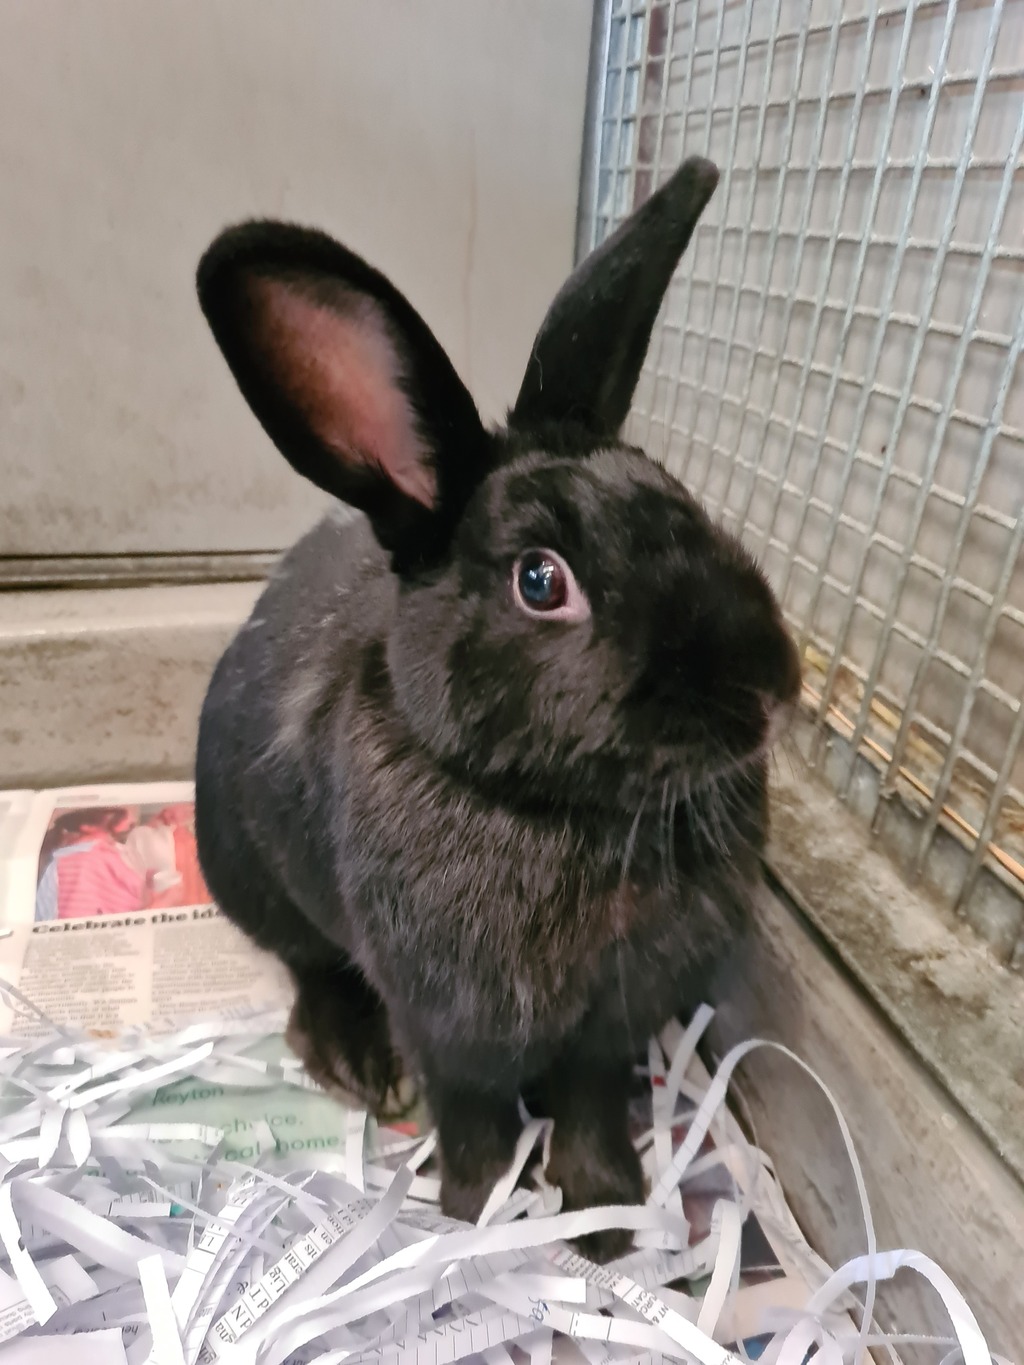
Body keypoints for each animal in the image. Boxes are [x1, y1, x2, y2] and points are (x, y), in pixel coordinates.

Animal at [193, 155, 801, 1262]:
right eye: (539, 581)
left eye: (684, 503)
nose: (772, 686)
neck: (553, 813)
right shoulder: (451, 1025)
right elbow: (473, 1115)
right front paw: (475, 1217)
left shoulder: (608, 1030)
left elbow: (593, 1107)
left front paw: (606, 1224)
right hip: (246, 869)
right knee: (306, 963)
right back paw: (355, 1061)